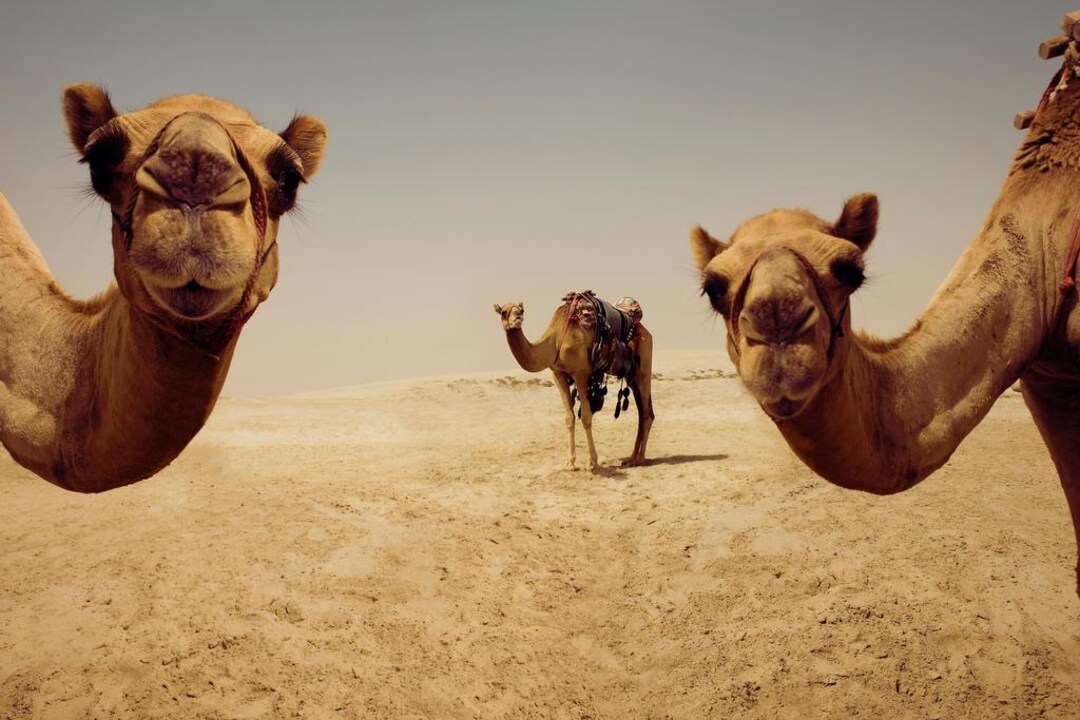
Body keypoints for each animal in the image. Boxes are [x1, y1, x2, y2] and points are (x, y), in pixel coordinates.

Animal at [494, 294, 654, 470]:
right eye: (503, 312)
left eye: (522, 310)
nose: (517, 318)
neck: (556, 340)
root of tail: (644, 330)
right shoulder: (558, 374)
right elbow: (569, 417)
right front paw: (570, 463)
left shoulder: (580, 373)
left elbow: (586, 417)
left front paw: (593, 462)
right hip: (630, 375)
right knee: (642, 412)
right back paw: (631, 458)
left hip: (644, 364)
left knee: (647, 413)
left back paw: (640, 459)